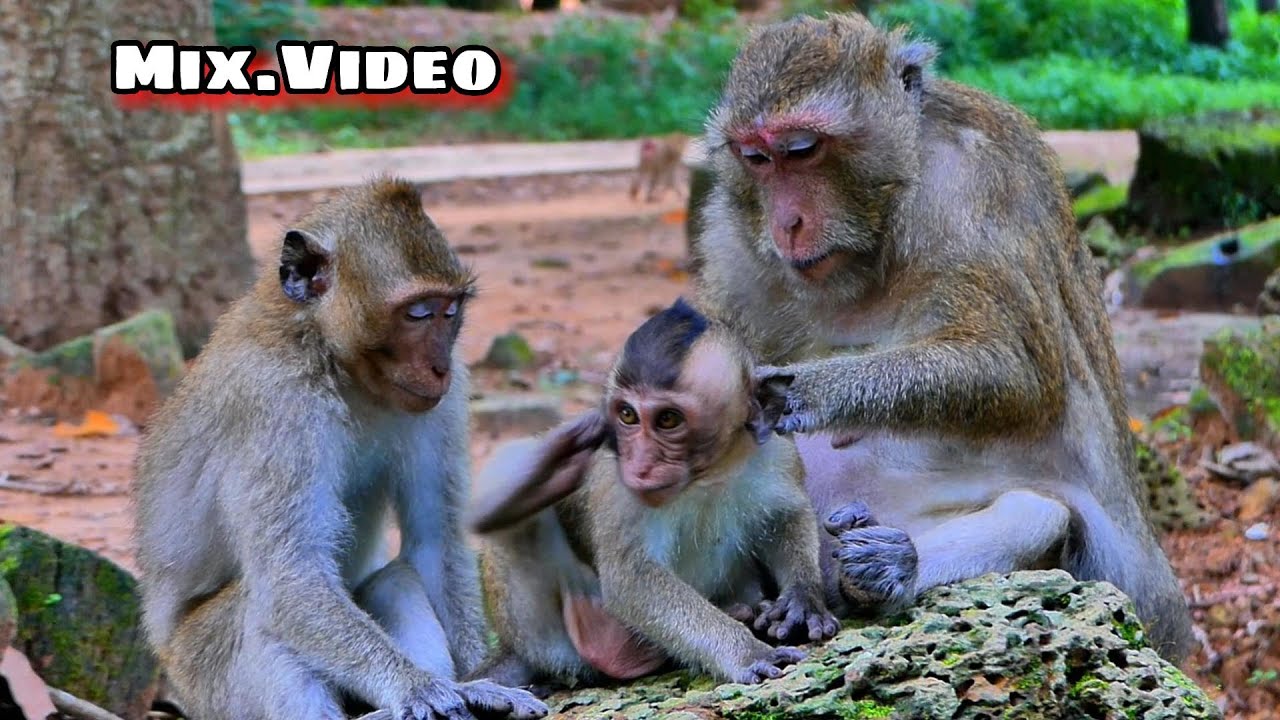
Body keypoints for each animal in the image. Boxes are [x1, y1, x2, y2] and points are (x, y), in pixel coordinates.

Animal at [131, 177, 548, 720]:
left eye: (451, 310)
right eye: (417, 314)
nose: (440, 366)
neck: (330, 357)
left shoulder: (446, 399)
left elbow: (435, 544)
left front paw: (477, 681)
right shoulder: (275, 403)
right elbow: (290, 578)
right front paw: (416, 688)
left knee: (395, 581)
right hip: (204, 680)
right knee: (257, 606)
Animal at [463, 298, 839, 690]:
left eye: (668, 420)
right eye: (628, 415)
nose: (640, 463)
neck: (708, 474)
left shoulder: (777, 449)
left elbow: (787, 516)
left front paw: (802, 598)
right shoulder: (618, 484)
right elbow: (633, 579)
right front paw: (747, 652)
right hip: (552, 641)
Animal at [687, 12, 1195, 662]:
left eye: (801, 150)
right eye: (755, 158)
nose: (787, 223)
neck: (885, 218)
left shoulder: (971, 188)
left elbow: (1013, 374)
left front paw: (807, 392)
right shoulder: (731, 233)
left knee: (1042, 515)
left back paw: (887, 566)